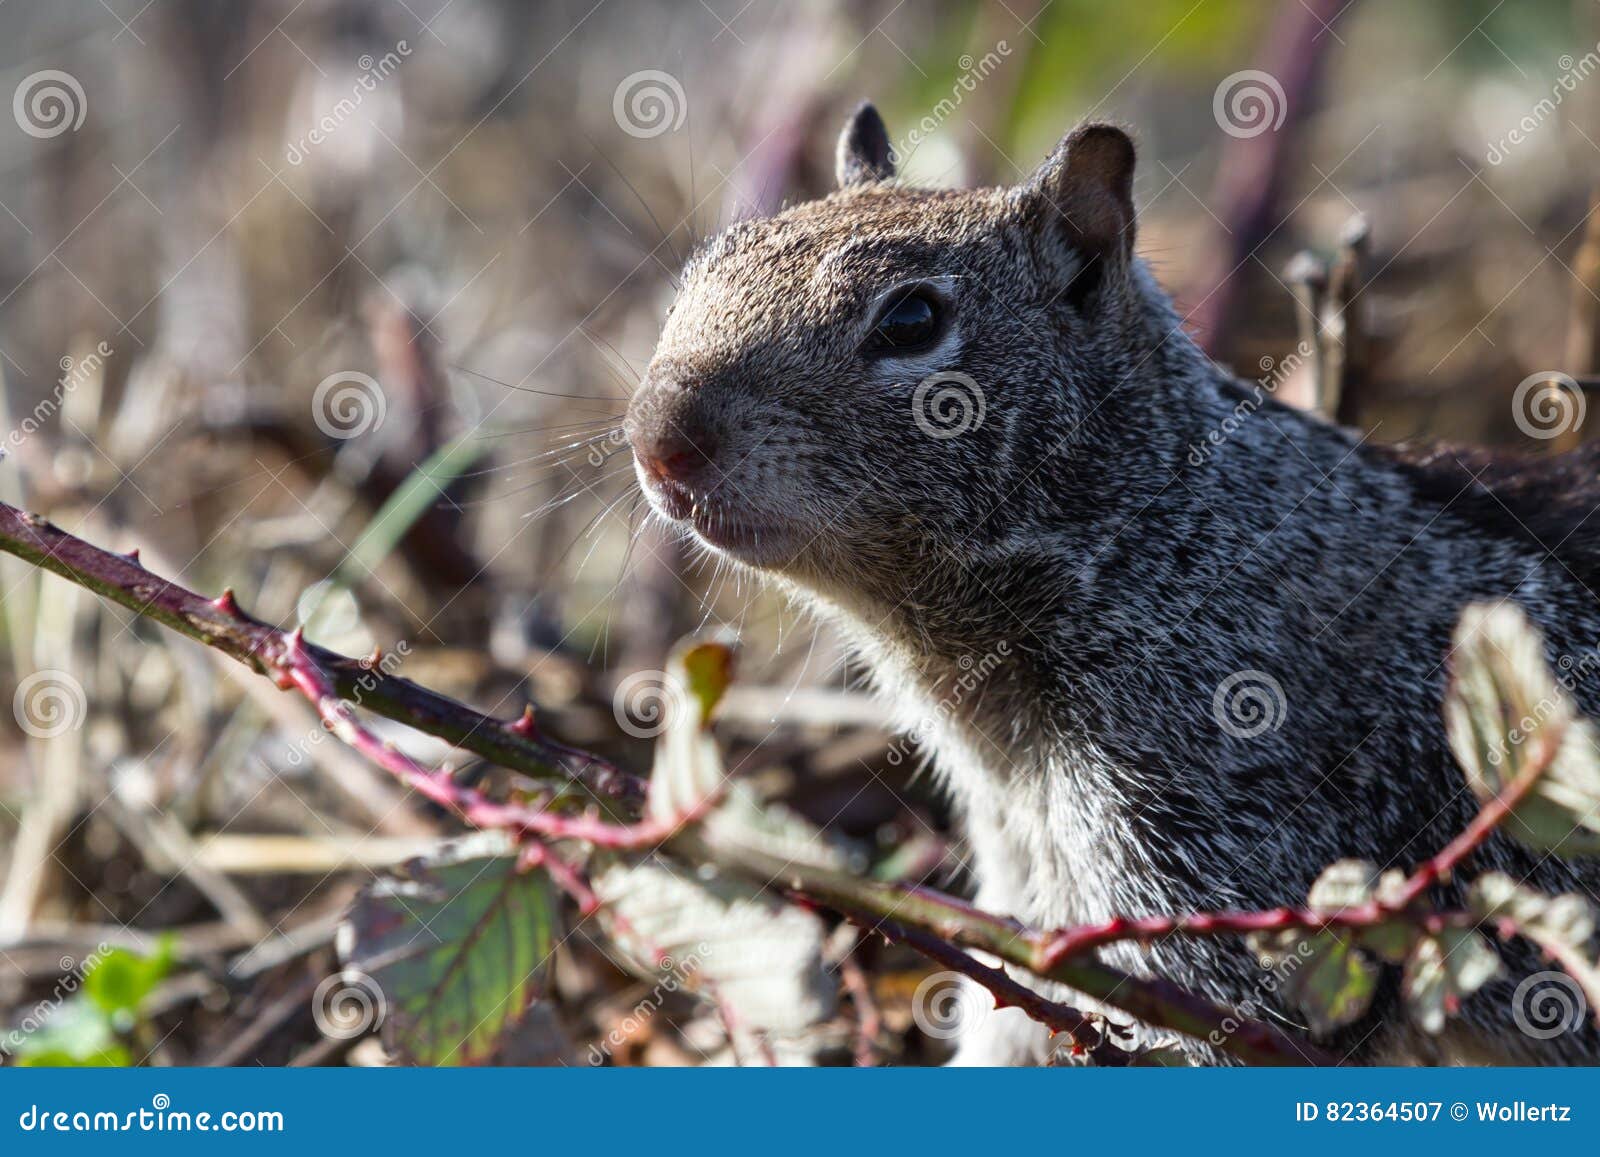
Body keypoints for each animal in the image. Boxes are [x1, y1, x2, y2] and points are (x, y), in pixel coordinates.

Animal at [624, 102, 1600, 1065]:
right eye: (705, 264)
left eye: (911, 321)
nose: (658, 436)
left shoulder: (1210, 851)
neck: (1149, 531)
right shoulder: (1027, 871)